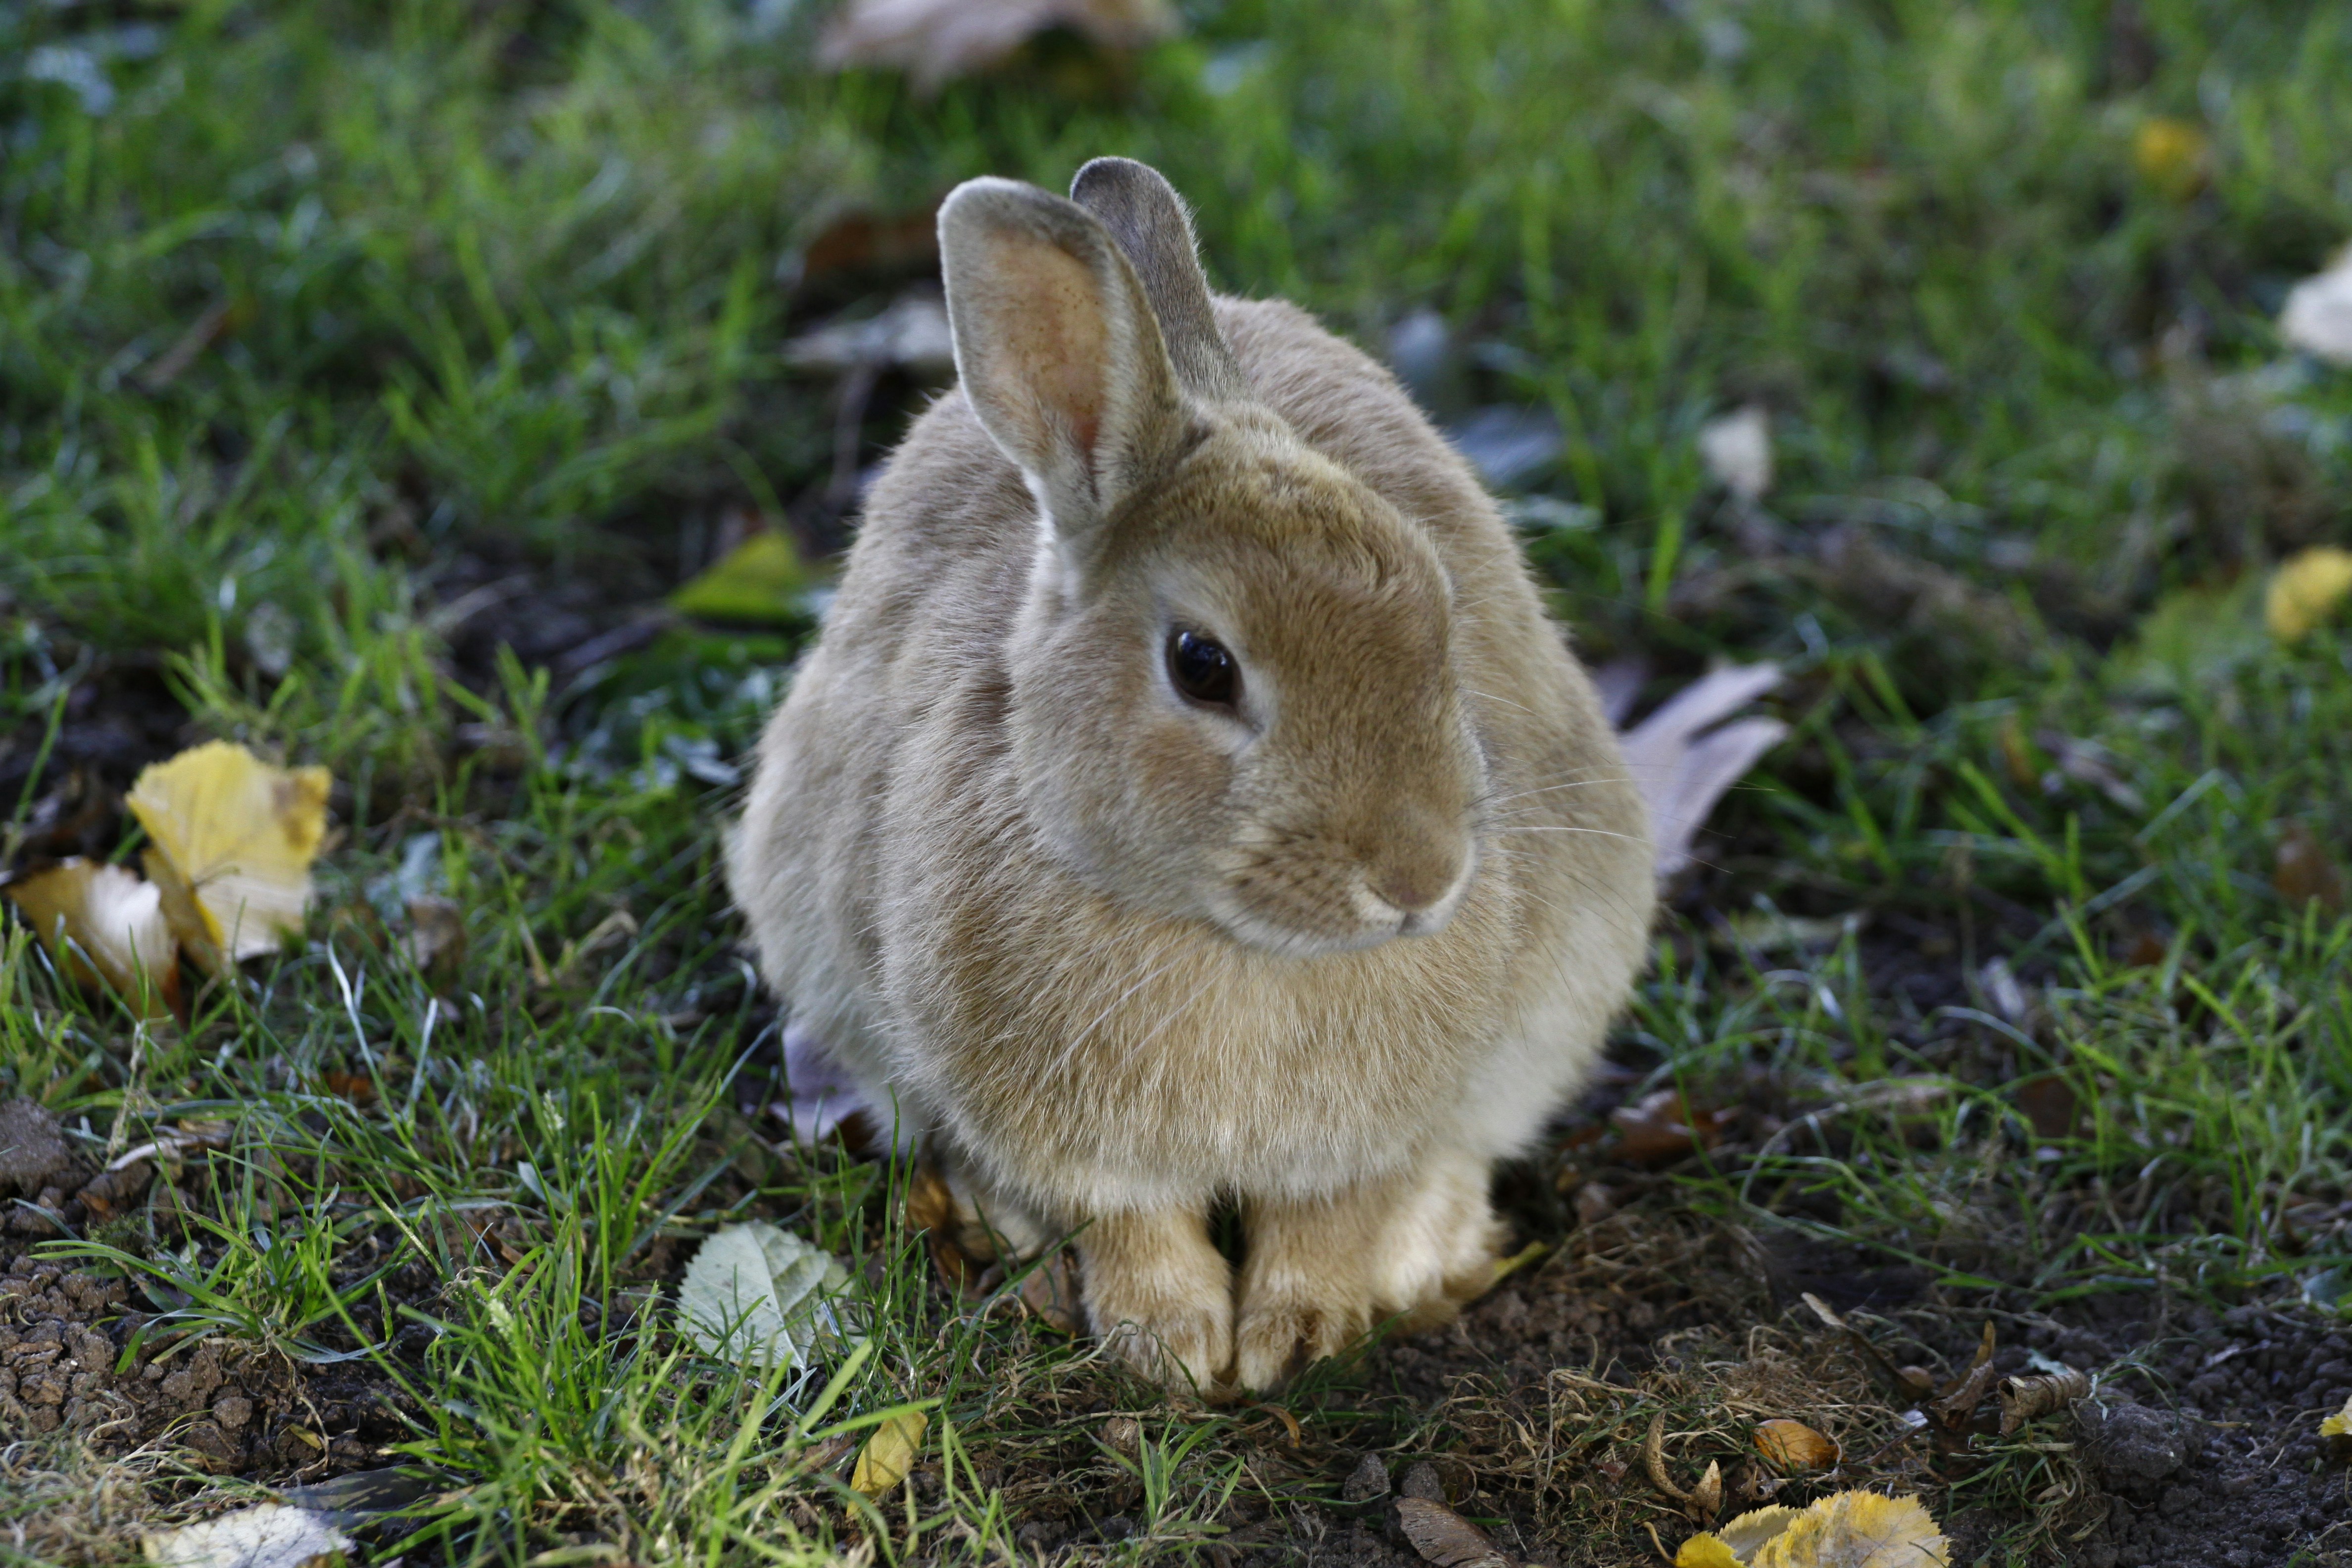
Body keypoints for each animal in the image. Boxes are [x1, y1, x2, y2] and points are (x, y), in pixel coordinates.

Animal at [726, 157, 1655, 1395]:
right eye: (1202, 667)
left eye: (1442, 610)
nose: (1422, 880)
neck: (1238, 943)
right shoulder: (1074, 1144)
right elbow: (1130, 1224)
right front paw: (1169, 1347)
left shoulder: (1365, 1138)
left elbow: (1331, 1217)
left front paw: (1297, 1336)